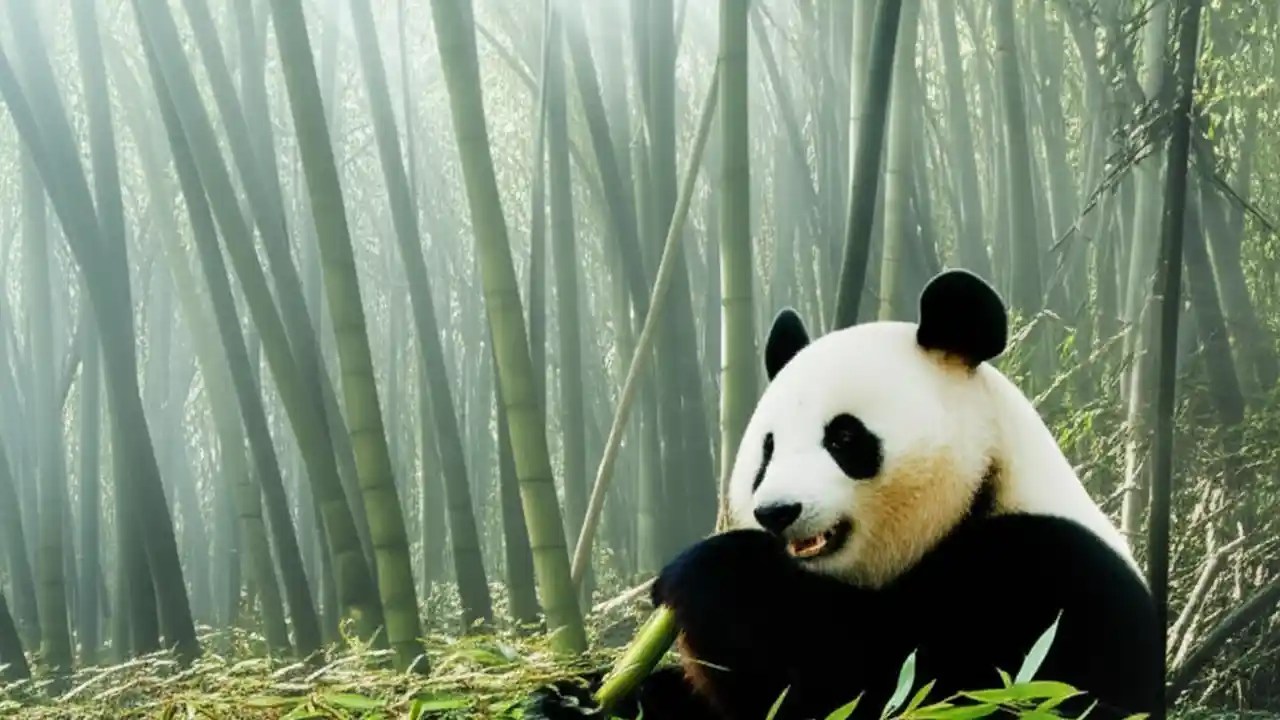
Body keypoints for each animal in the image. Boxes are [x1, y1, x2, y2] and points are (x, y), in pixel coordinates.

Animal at [528, 269, 1161, 720]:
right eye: (766, 450)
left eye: (845, 437)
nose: (775, 512)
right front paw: (569, 698)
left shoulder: (1041, 579)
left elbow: (878, 683)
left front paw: (709, 572)